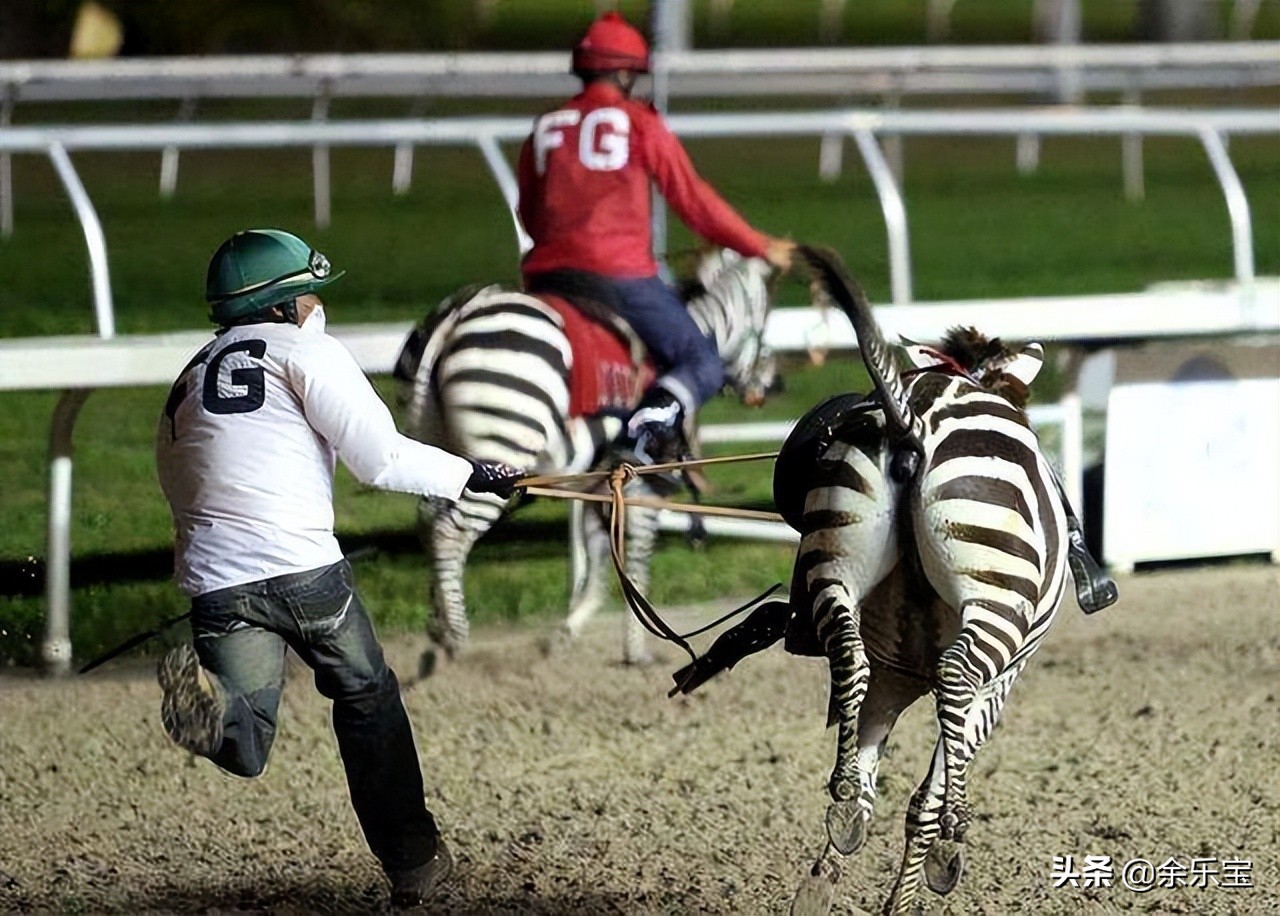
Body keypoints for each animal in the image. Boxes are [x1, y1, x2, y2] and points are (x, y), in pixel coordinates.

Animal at [394, 249, 779, 668]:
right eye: (764, 318)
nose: (769, 385)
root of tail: (461, 313)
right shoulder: (643, 490)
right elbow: (635, 561)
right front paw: (636, 649)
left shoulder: (598, 489)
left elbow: (597, 561)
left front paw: (566, 632)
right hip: (497, 460)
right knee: (448, 532)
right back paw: (456, 637)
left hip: (440, 455)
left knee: (428, 522)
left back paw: (438, 628)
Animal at [671, 246, 1110, 915]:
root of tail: (914, 419)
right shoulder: (1000, 682)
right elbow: (928, 794)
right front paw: (922, 866)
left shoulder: (893, 679)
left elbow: (877, 781)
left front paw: (824, 875)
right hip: (990, 614)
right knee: (952, 676)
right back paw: (955, 838)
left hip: (838, 578)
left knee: (849, 661)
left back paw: (841, 798)